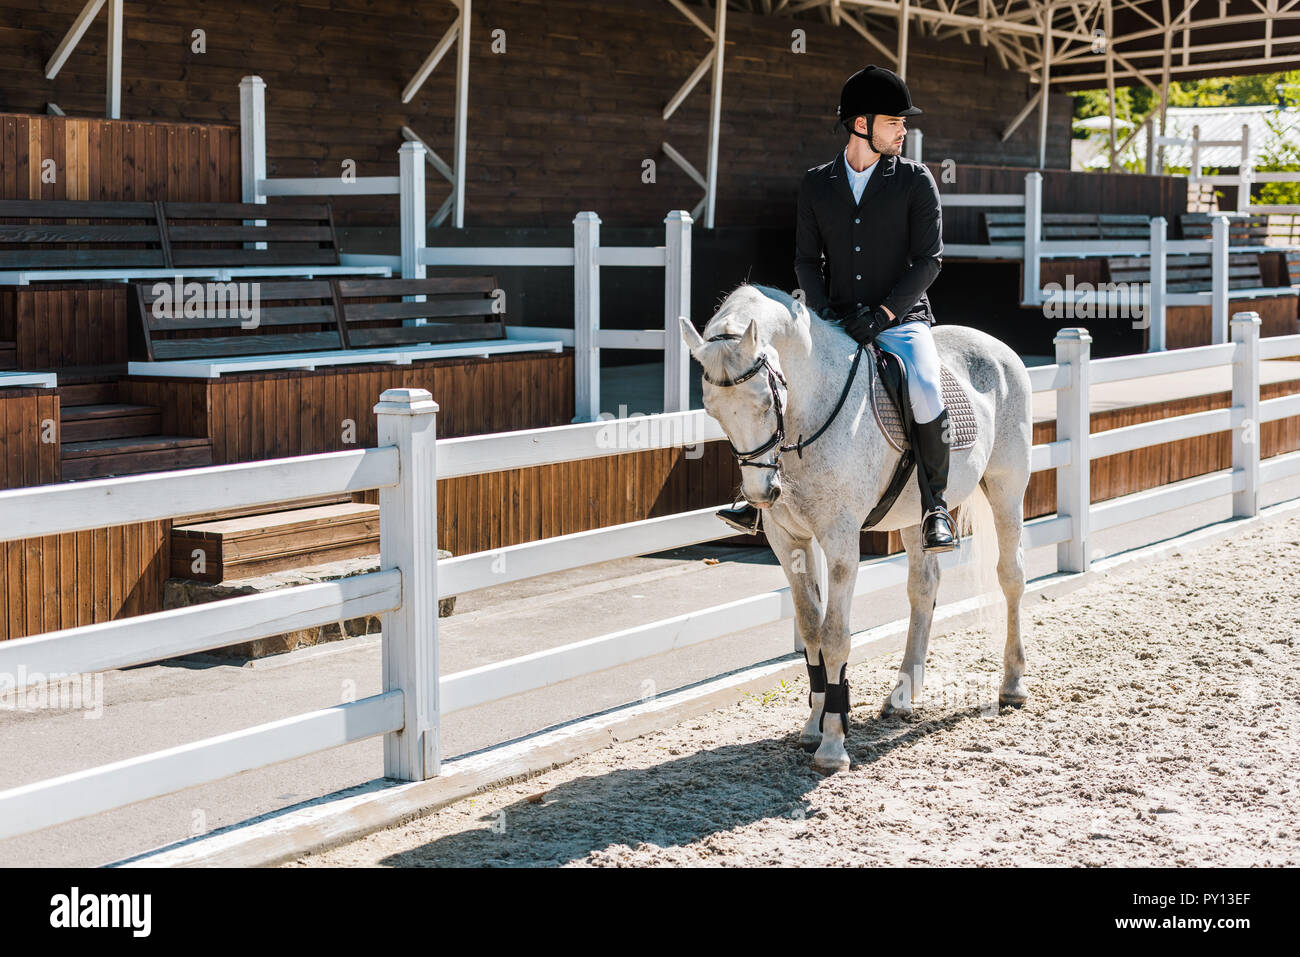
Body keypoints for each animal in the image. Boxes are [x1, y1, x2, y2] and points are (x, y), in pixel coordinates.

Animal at [679, 283, 1033, 773]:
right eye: (712, 411)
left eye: (767, 402)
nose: (762, 493)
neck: (809, 415)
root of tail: (995, 345)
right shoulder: (787, 538)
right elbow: (810, 628)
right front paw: (814, 725)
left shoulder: (841, 541)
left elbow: (835, 636)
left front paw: (832, 745)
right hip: (916, 514)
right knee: (924, 588)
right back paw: (902, 696)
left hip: (1006, 486)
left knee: (1011, 576)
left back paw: (1013, 685)